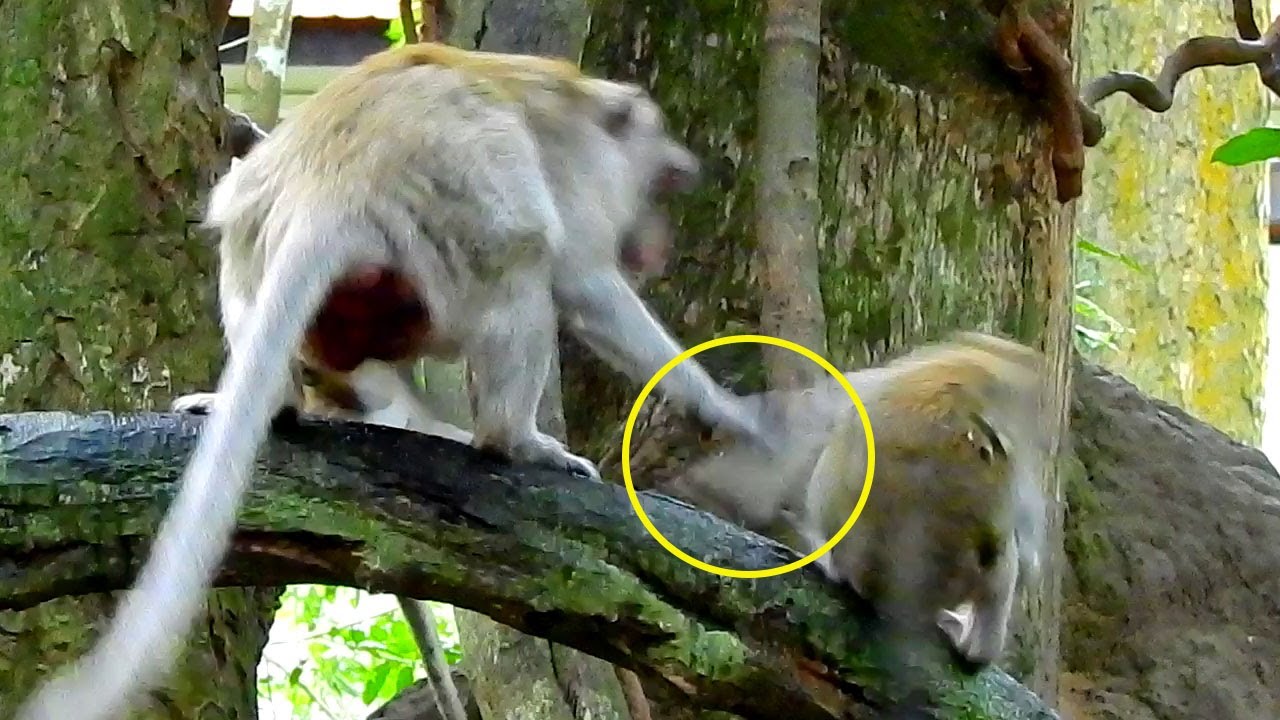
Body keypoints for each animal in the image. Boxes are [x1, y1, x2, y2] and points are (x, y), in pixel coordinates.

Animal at [16, 43, 776, 720]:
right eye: (664, 183)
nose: (660, 241)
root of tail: (333, 183)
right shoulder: (587, 176)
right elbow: (585, 281)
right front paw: (722, 406)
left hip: (259, 223)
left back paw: (276, 404)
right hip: (458, 212)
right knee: (523, 257)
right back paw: (514, 440)